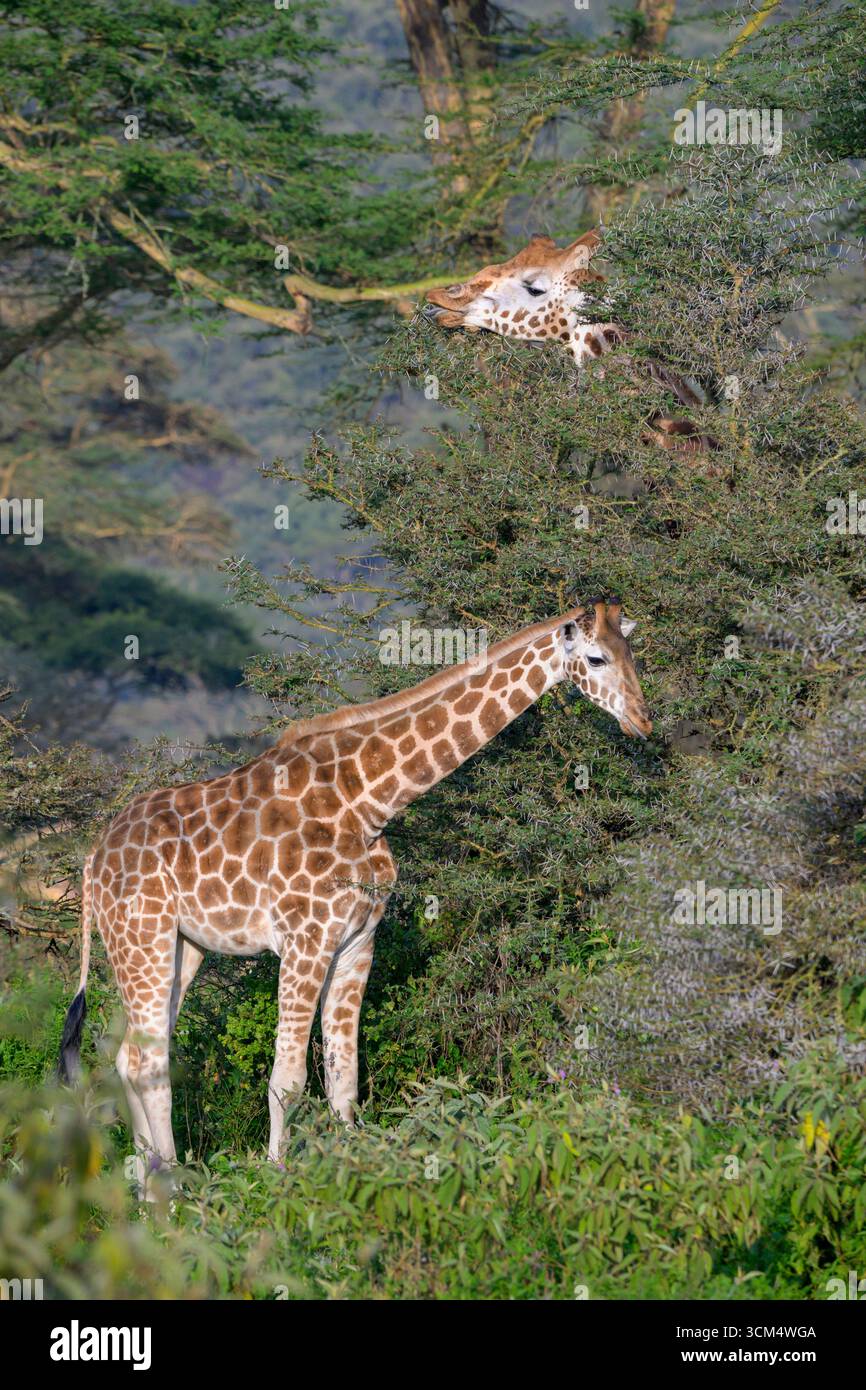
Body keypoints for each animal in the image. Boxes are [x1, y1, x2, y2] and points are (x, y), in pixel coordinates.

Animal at [58, 598, 650, 1195]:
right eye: (596, 659)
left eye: (632, 654)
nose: (643, 721)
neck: (369, 800)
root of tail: (91, 860)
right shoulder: (306, 940)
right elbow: (288, 1078)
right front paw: (279, 1181)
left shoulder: (358, 941)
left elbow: (345, 1075)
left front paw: (349, 1175)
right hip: (142, 938)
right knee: (147, 1063)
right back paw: (171, 1194)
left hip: (184, 947)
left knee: (132, 1056)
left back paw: (144, 1189)